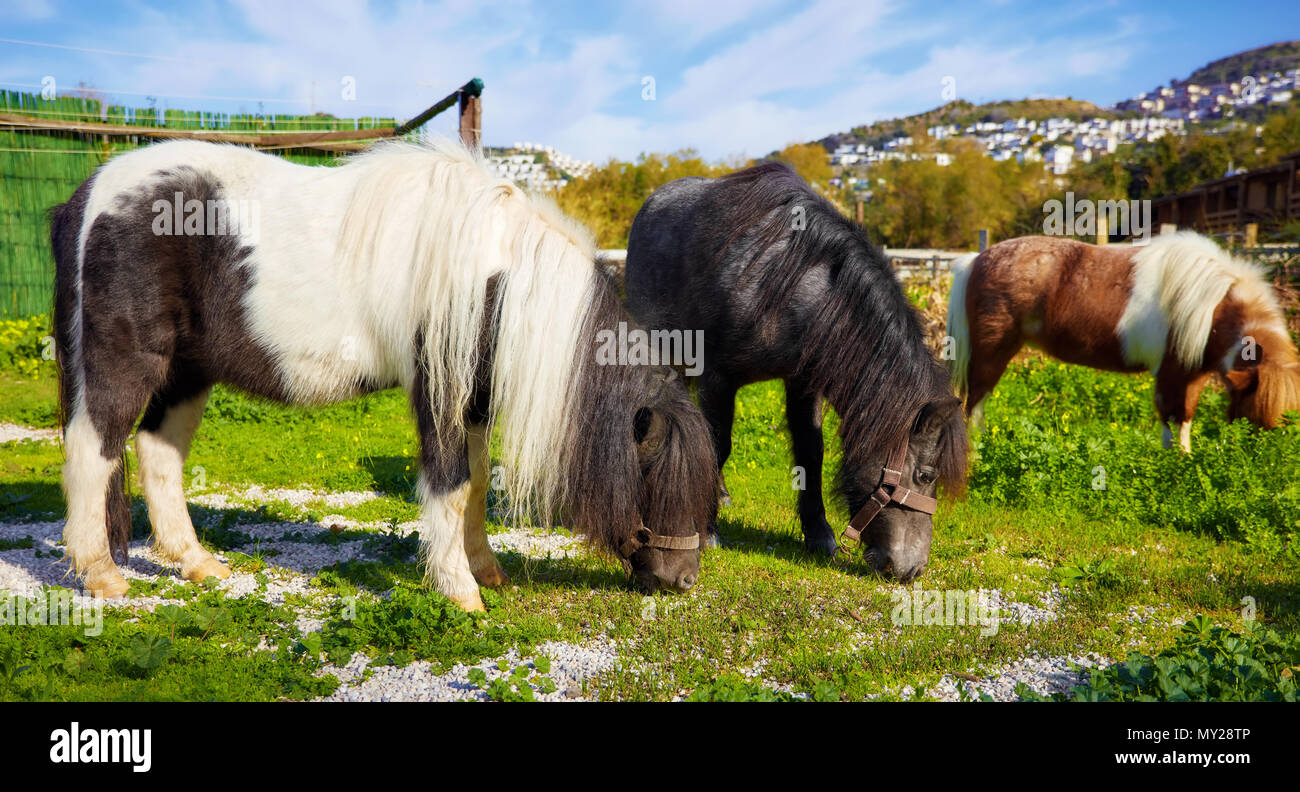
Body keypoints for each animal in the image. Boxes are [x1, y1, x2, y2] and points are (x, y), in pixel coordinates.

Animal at [48, 138, 717, 609]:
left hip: (188, 374)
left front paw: (485, 569)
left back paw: (197, 563)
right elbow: (450, 486)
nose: (683, 580)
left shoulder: (473, 396)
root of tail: (91, 194)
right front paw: (460, 590)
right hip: (126, 363)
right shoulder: (437, 391)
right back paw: (102, 575)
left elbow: (476, 485)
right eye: (658, 482)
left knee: (158, 453)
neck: (495, 272)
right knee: (92, 449)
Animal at [625, 162, 967, 583]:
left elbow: (811, 450)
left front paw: (818, 534)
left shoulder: (804, 383)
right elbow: (719, 444)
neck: (792, 284)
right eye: (926, 475)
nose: (913, 569)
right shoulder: (718, 378)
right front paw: (707, 530)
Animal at [947, 232, 1300, 452]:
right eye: (1254, 417)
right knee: (973, 400)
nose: (1262, 459)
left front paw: (1185, 459)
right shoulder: (1170, 373)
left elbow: (1185, 419)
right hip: (992, 353)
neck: (1212, 305)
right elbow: (1170, 419)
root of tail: (976, 259)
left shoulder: (1193, 375)